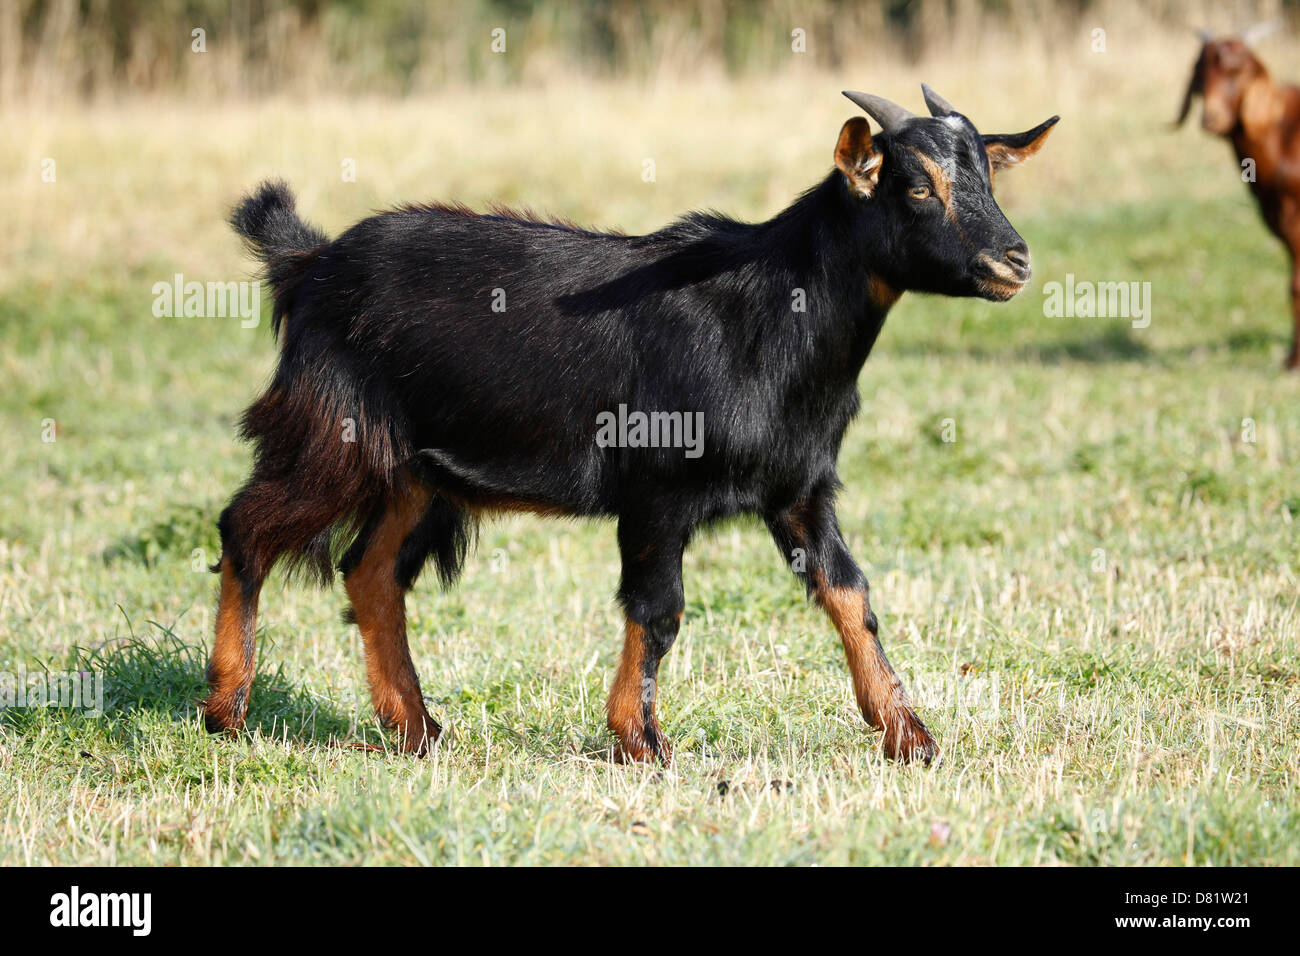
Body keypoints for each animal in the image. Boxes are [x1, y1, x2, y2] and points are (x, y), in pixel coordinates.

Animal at [207, 86, 1057, 764]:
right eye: (916, 187)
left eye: (986, 176)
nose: (1013, 261)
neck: (771, 310)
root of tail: (309, 263)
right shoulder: (658, 488)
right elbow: (660, 608)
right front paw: (640, 740)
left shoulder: (801, 487)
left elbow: (850, 593)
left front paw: (909, 735)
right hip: (335, 435)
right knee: (246, 525)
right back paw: (226, 710)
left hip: (413, 472)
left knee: (371, 571)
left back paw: (416, 729)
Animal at [1178, 22, 1300, 369]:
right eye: (1200, 72)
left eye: (1238, 71)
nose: (1211, 119)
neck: (1280, 132)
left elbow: (1296, 285)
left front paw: (1292, 361)